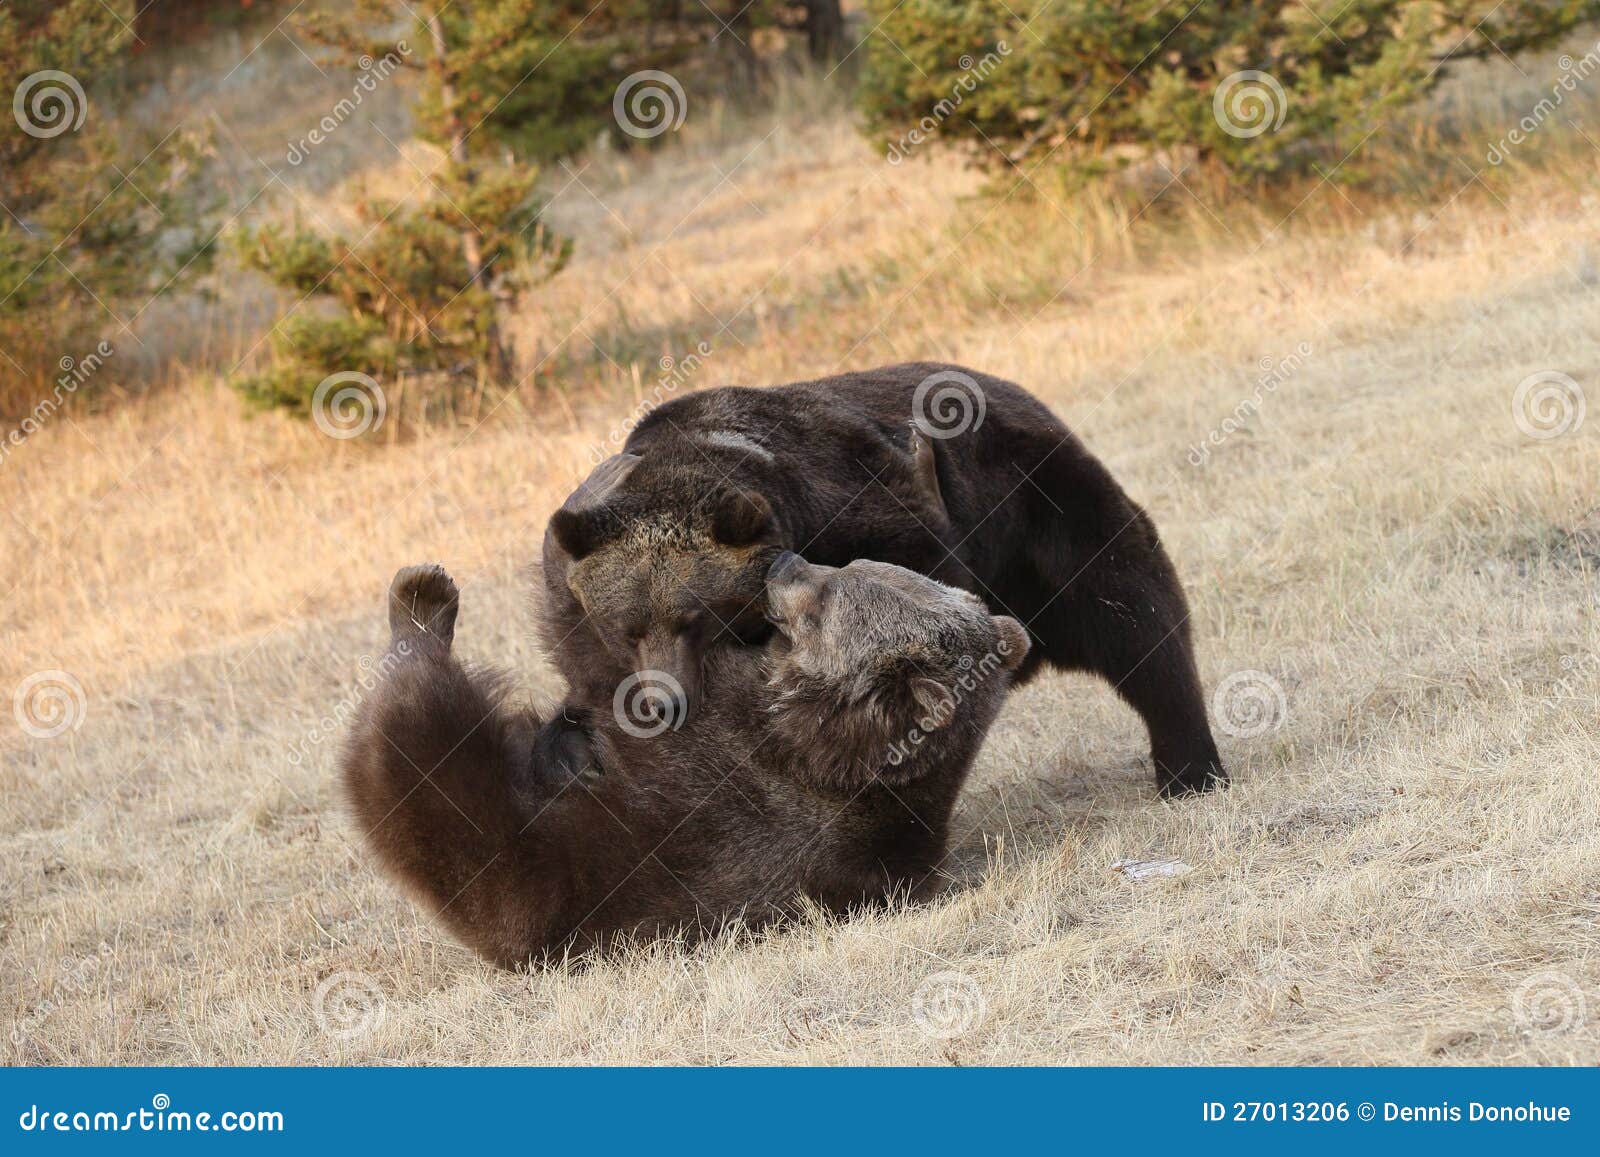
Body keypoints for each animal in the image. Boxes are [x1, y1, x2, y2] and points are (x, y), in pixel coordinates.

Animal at [340, 556, 1030, 967]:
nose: (783, 561)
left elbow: (621, 682)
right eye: (853, 562)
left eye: (830, 595)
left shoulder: (729, 738)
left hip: (490, 844)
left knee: (409, 729)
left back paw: (422, 605)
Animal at [542, 361, 1226, 798]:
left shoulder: (859, 504)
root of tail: (1015, 389)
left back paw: (1190, 768)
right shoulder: (573, 613)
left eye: (697, 621)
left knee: (1133, 612)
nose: (663, 703)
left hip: (1043, 507)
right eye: (626, 628)